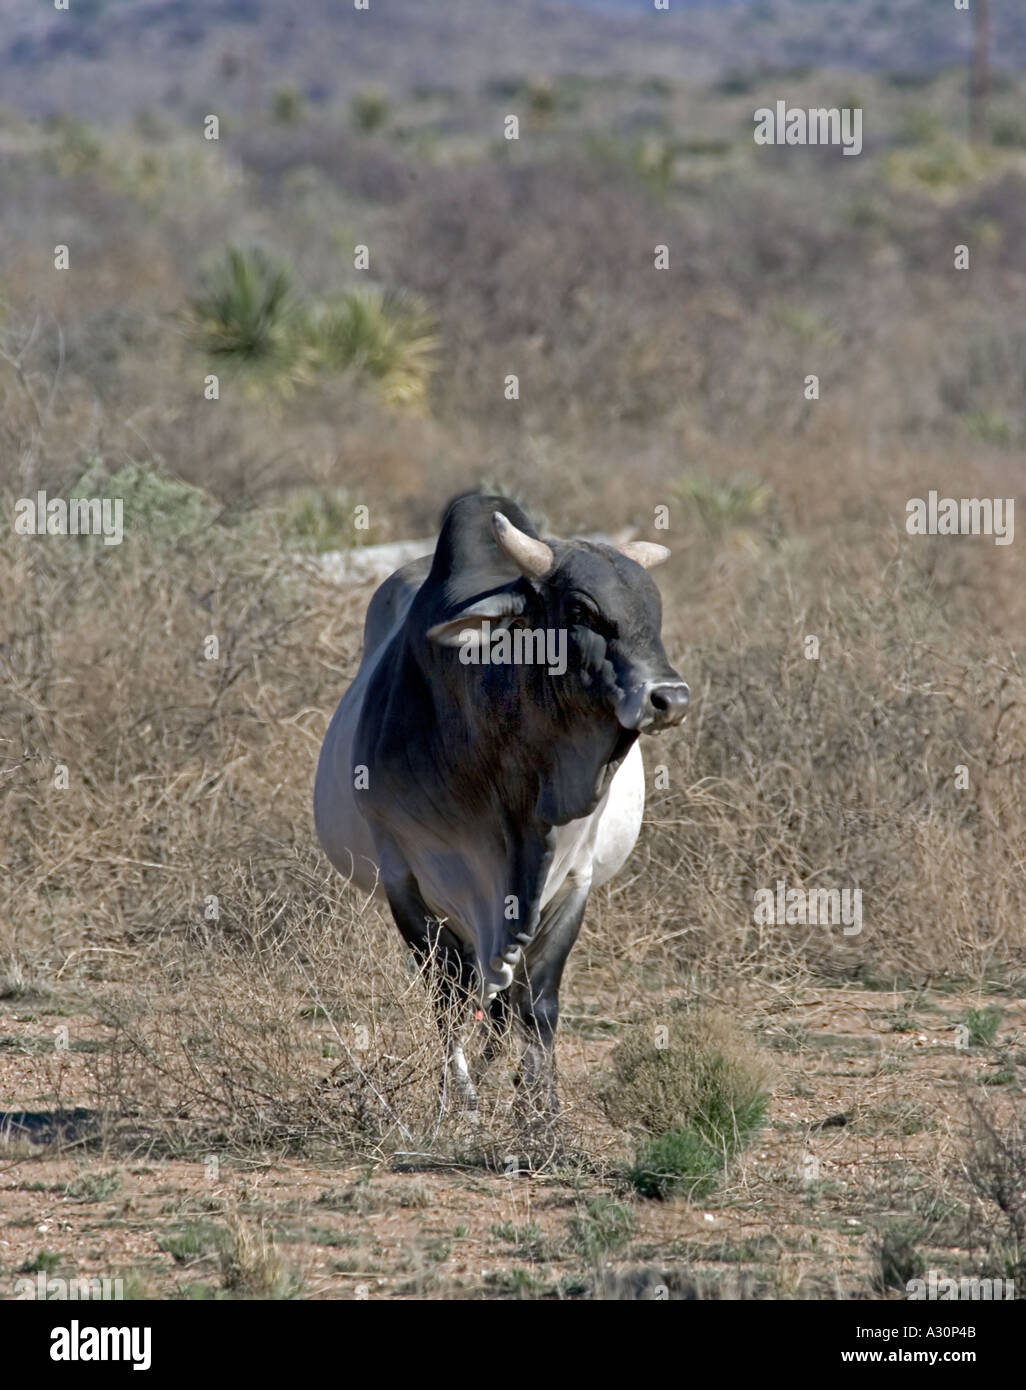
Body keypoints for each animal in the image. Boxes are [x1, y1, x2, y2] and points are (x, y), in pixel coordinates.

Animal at [314, 493, 688, 1125]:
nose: (670, 698)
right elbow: (447, 998)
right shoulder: (405, 878)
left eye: (655, 610)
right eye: (581, 611)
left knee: (504, 997)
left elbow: (538, 1002)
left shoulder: (572, 881)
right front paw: (458, 1100)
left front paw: (540, 1112)